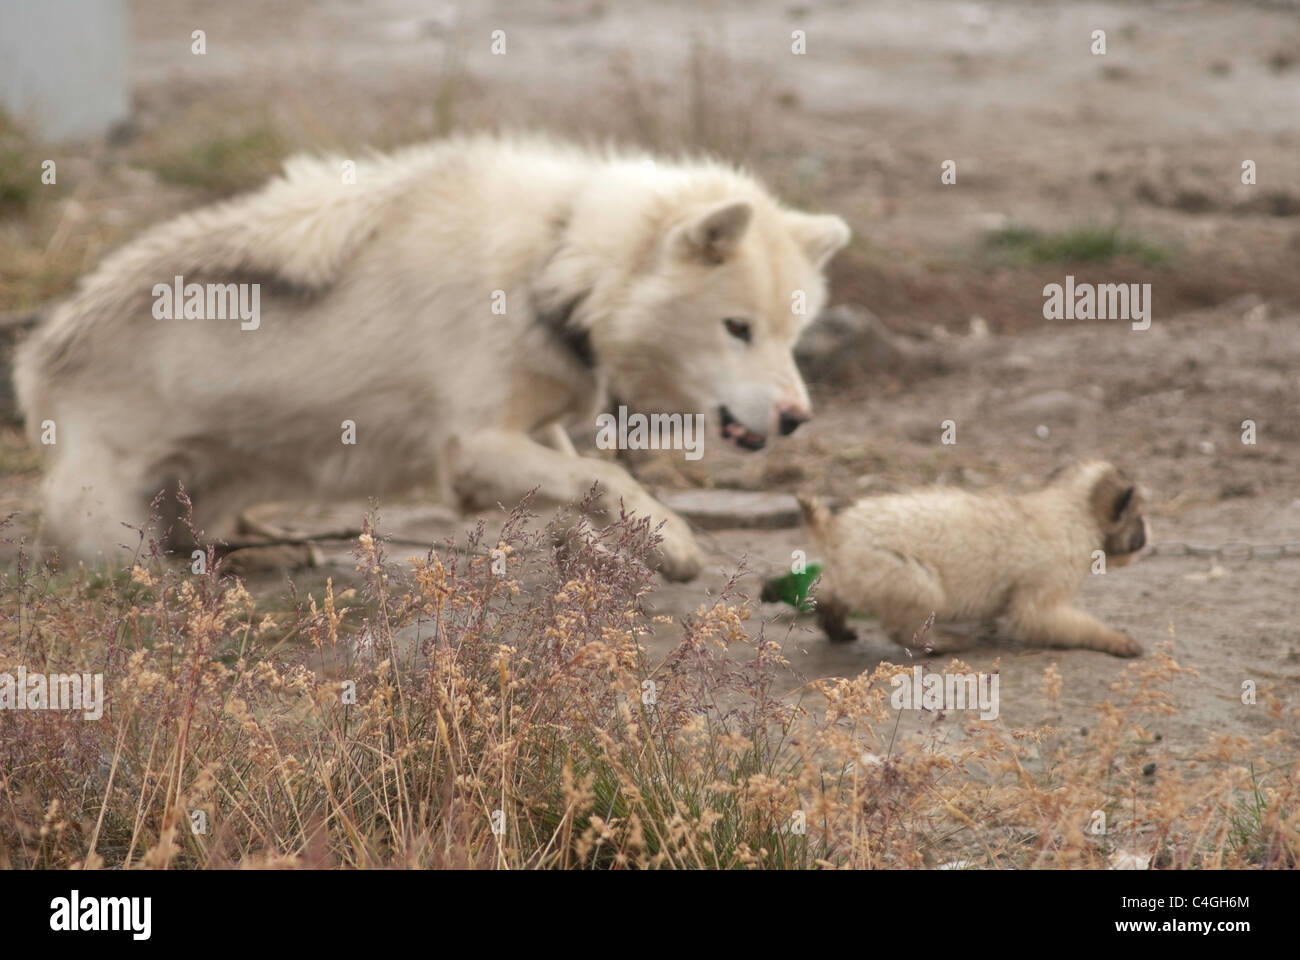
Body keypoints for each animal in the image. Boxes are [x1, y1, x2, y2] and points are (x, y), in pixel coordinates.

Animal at [14, 135, 850, 577]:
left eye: (792, 334)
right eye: (737, 328)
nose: (797, 418)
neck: (555, 262)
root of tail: (36, 358)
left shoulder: (528, 427)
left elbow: (582, 482)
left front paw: (632, 541)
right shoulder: (472, 445)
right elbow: (603, 473)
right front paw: (672, 540)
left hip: (210, 486)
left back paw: (270, 549)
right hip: (110, 521)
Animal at [797, 461, 1149, 657]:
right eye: (1138, 516)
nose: (1149, 535)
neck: (1071, 508)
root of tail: (834, 530)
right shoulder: (1046, 589)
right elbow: (1054, 620)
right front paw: (1119, 640)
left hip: (851, 577)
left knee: (829, 597)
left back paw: (838, 629)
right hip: (914, 583)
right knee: (905, 631)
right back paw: (948, 642)